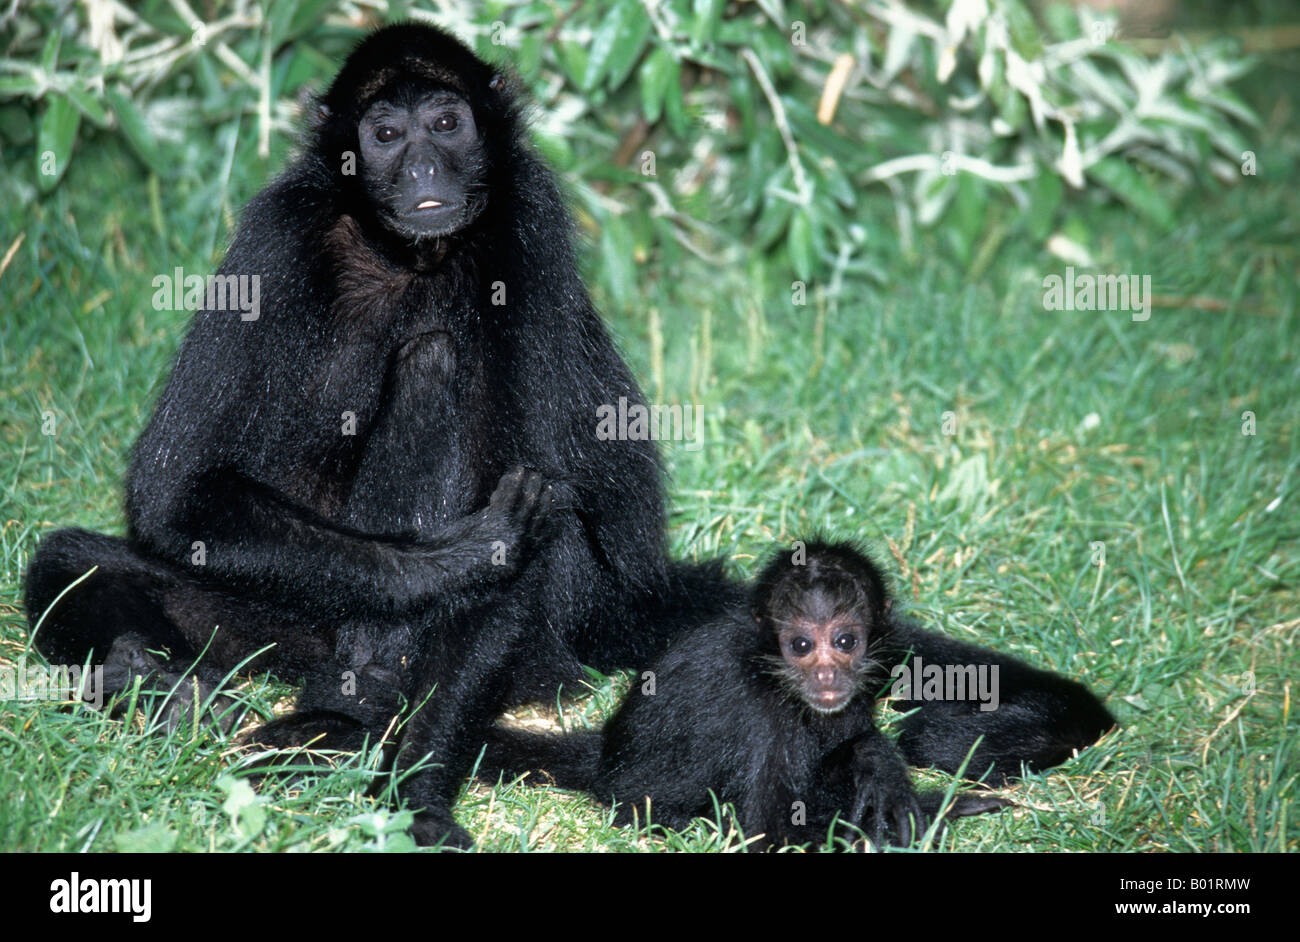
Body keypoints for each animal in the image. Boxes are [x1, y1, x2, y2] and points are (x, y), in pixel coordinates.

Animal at [480, 542, 1025, 850]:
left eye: (844, 642)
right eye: (801, 646)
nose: (827, 677)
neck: (773, 673)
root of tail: (607, 754)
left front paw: (883, 768)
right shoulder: (760, 714)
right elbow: (770, 835)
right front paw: (932, 811)